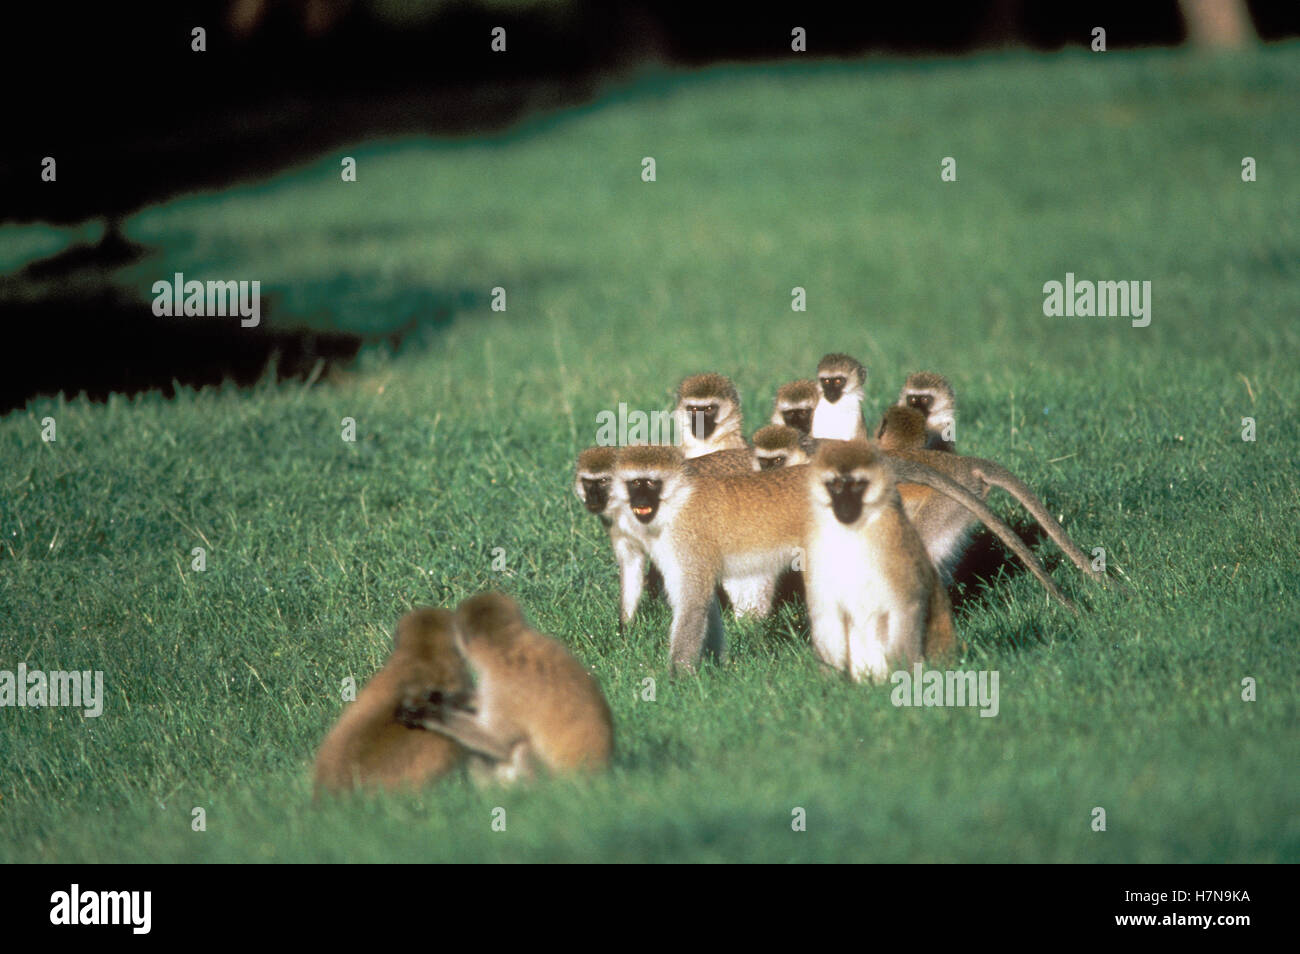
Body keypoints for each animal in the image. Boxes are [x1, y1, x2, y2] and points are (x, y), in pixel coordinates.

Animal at [398, 592, 613, 783]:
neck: (507, 648)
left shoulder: (502, 688)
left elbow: (499, 741)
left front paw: (429, 714)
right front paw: (447, 698)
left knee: (521, 747)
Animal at [804, 440, 956, 682]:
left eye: (858, 485)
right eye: (835, 484)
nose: (845, 508)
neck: (851, 531)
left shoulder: (891, 535)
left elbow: (907, 603)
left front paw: (904, 678)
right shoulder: (814, 539)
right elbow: (826, 610)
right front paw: (831, 680)